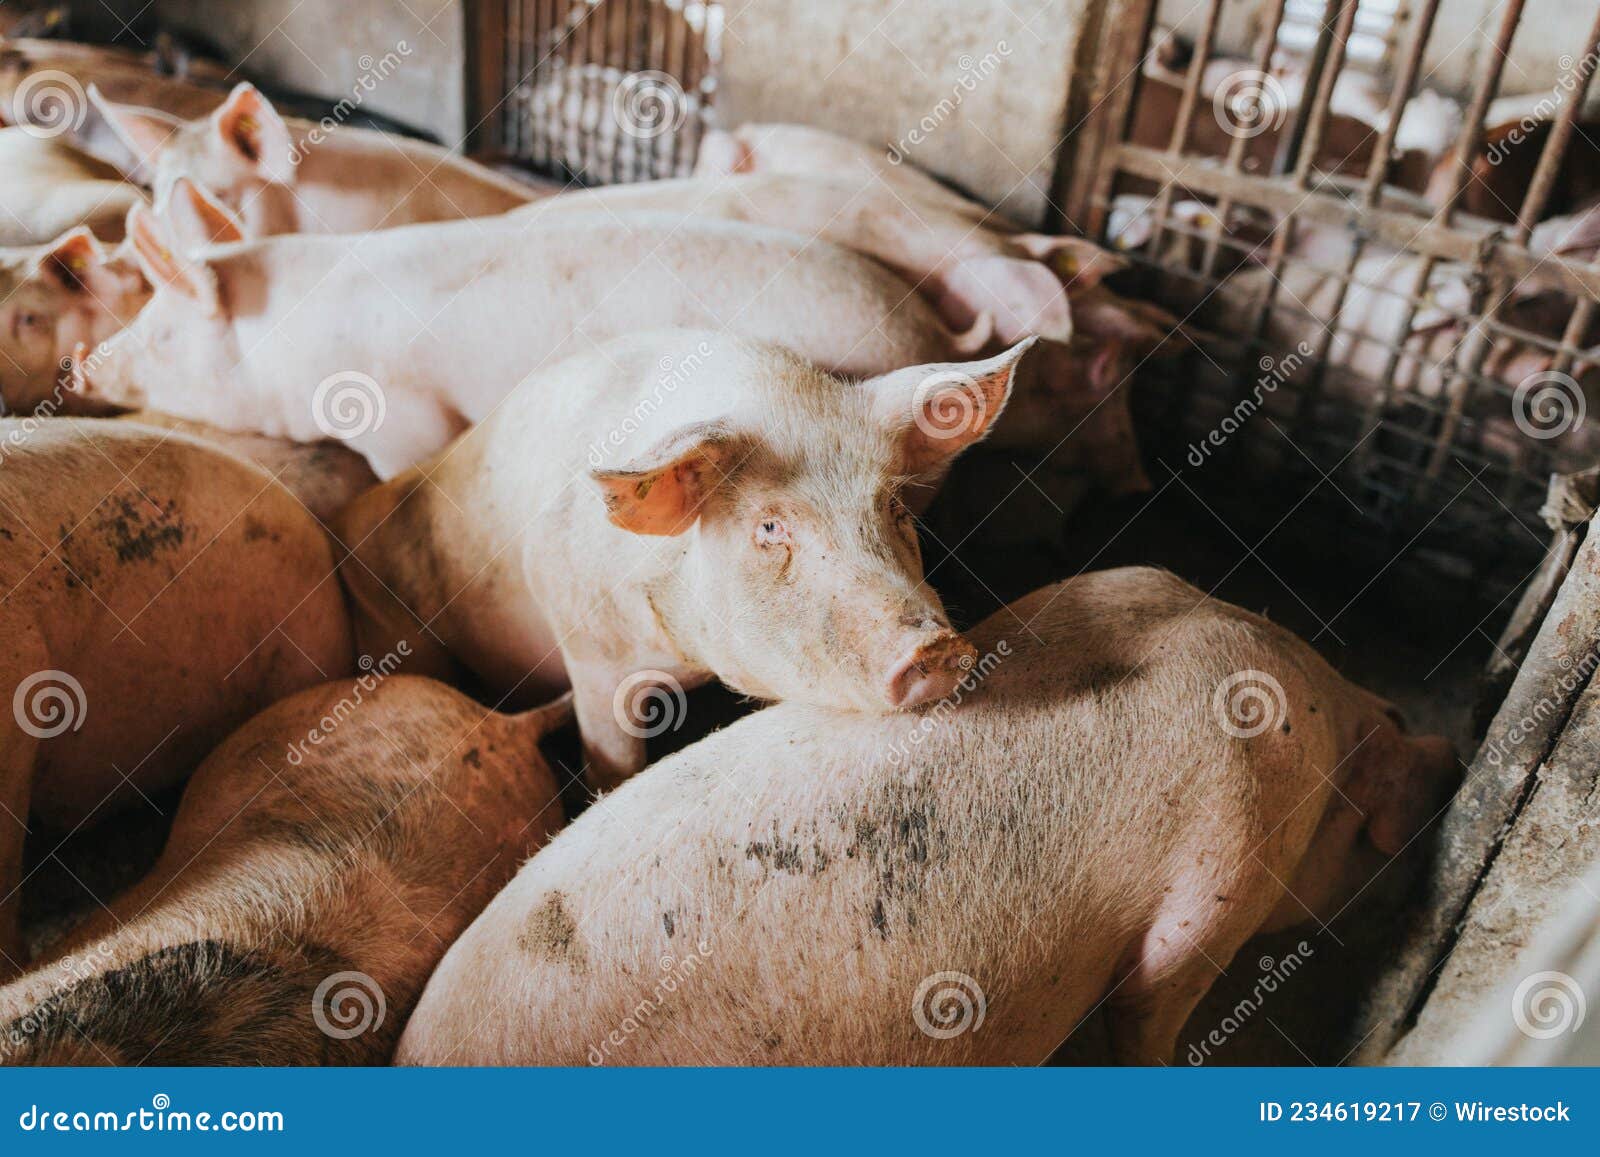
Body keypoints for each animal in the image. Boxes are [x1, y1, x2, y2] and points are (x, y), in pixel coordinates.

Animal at [334, 330, 1033, 788]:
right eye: (769, 526)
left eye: (891, 506)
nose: (937, 647)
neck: (686, 660)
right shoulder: (588, 650)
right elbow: (611, 754)